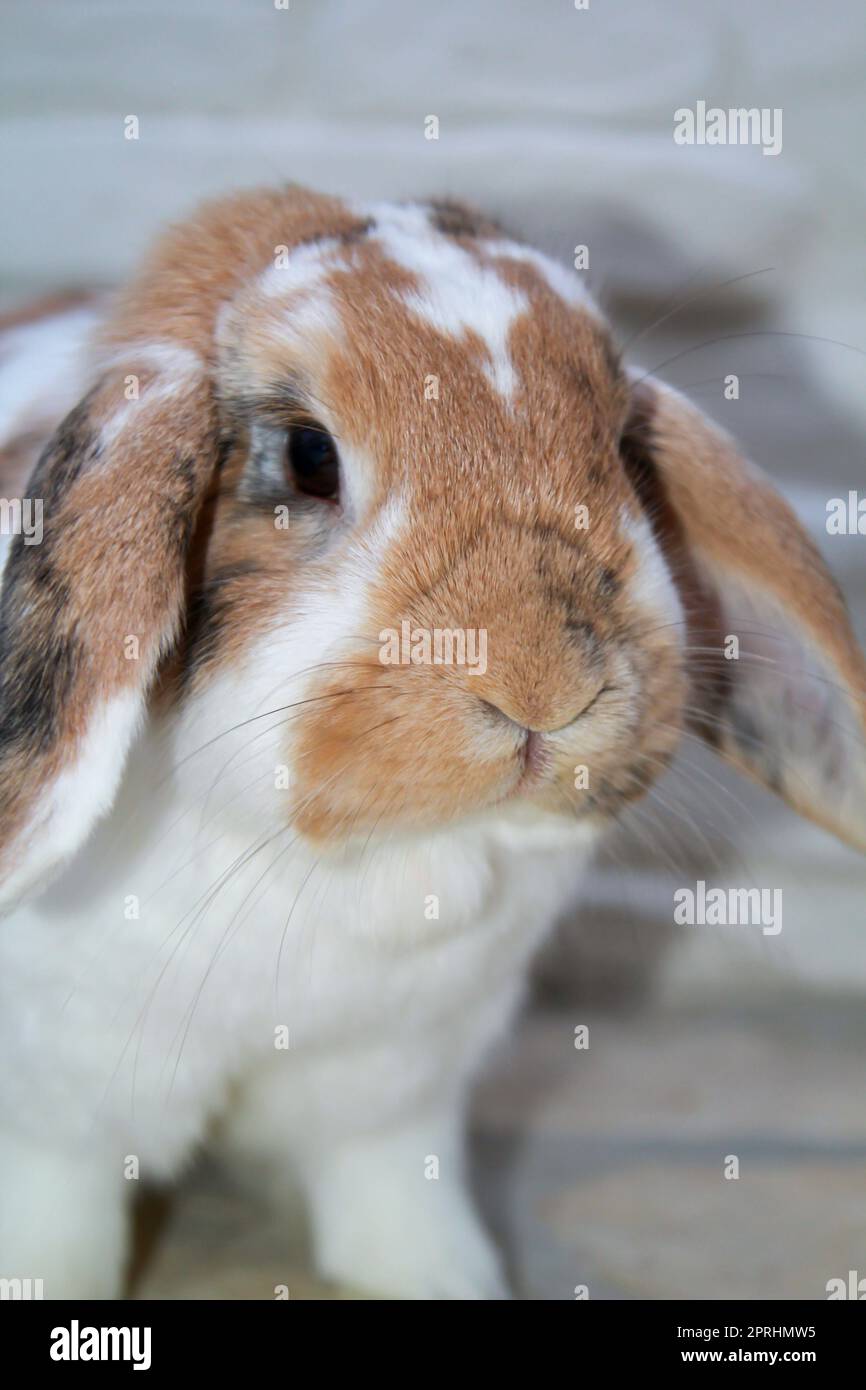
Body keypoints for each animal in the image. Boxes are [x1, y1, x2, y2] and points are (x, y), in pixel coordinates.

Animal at [0, 185, 864, 1301]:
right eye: (309, 455)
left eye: (621, 450)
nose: (544, 679)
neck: (365, 866)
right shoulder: (58, 1099)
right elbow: (58, 1215)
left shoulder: (395, 1091)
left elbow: (393, 1194)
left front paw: (444, 1278)